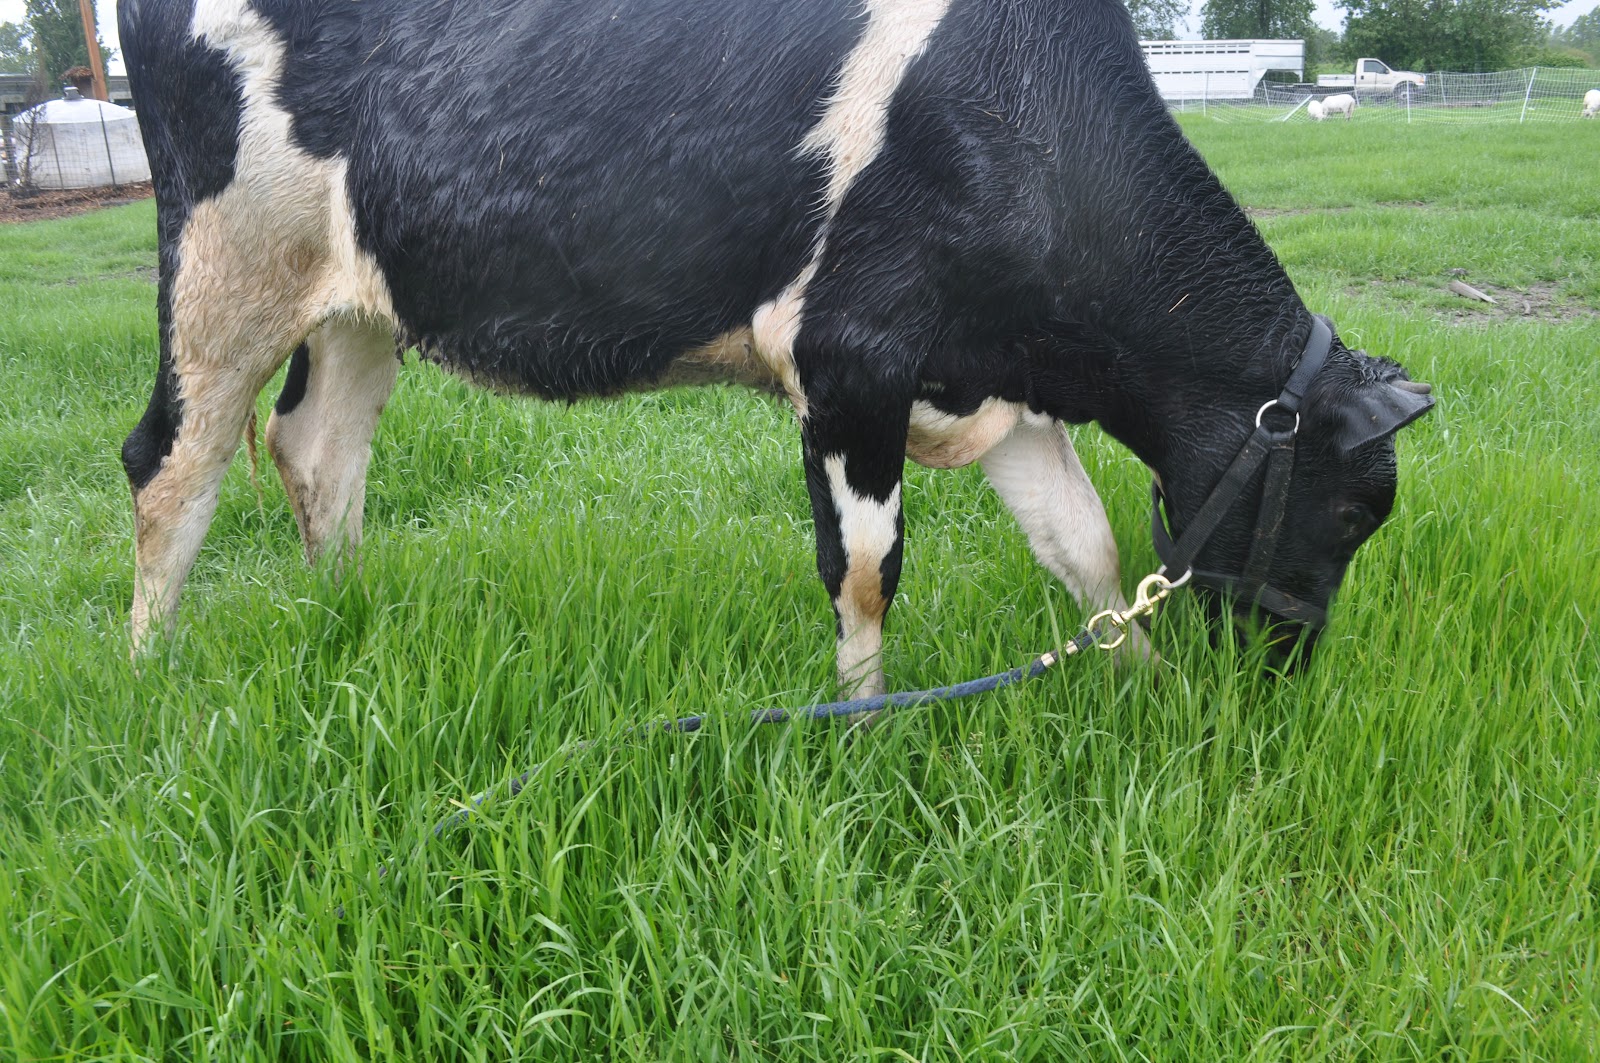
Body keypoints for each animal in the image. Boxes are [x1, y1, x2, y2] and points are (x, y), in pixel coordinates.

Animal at [119, 0, 1433, 702]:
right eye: (1353, 508)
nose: (1285, 665)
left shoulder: (992, 382)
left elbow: (1087, 548)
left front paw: (1139, 680)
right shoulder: (849, 359)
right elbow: (865, 570)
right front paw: (865, 725)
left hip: (360, 298)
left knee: (314, 449)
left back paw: (348, 619)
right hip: (226, 261)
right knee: (172, 465)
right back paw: (153, 674)